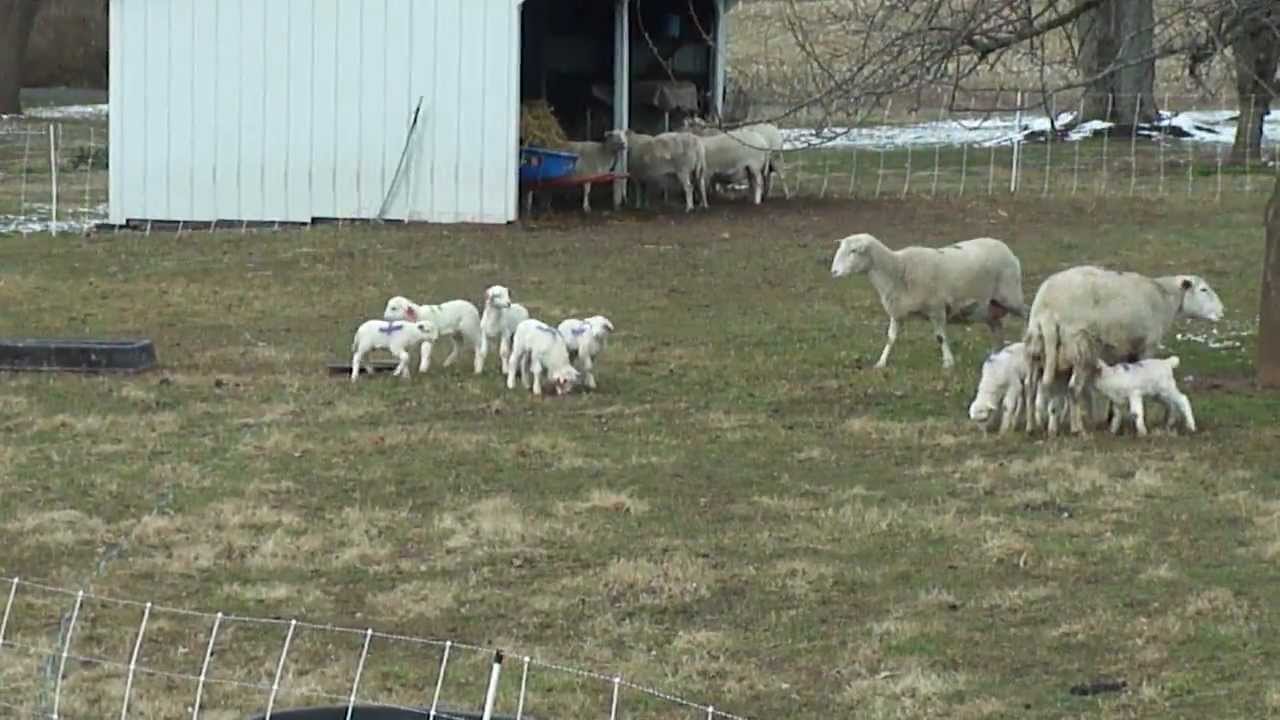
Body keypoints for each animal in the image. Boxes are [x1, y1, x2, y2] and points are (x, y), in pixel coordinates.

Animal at [829, 233, 1027, 370]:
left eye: (853, 251)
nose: (834, 272)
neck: (897, 269)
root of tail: (1007, 250)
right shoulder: (897, 312)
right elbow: (890, 338)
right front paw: (881, 362)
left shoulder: (936, 308)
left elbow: (940, 337)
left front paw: (948, 363)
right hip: (989, 307)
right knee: (997, 328)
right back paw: (996, 355)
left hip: (1010, 296)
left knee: (1026, 313)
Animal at [1022, 266, 1224, 436]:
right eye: (1203, 289)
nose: (1222, 311)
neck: (1164, 298)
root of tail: (1047, 310)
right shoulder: (1146, 347)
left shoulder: (1120, 352)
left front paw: (1112, 417)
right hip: (1080, 346)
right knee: (1073, 388)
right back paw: (1077, 429)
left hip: (1035, 349)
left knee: (1030, 387)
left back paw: (1031, 427)